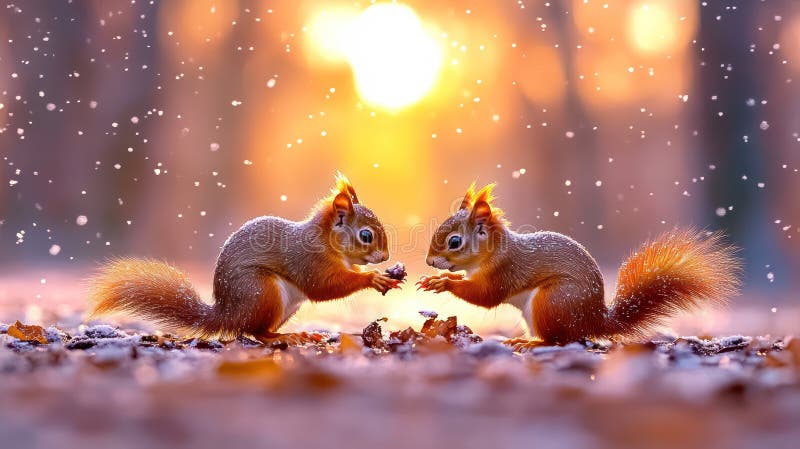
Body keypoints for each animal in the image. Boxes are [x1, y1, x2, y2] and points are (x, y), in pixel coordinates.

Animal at [89, 173, 401, 344]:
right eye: (366, 235)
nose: (385, 256)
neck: (326, 240)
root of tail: (228, 313)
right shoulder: (308, 259)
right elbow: (324, 286)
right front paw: (373, 278)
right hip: (263, 291)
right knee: (255, 332)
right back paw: (287, 338)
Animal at [417, 183, 742, 348]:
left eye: (455, 242)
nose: (429, 261)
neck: (494, 252)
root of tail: (594, 319)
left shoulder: (506, 271)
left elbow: (485, 296)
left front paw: (443, 282)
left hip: (551, 302)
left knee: (560, 340)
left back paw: (534, 344)